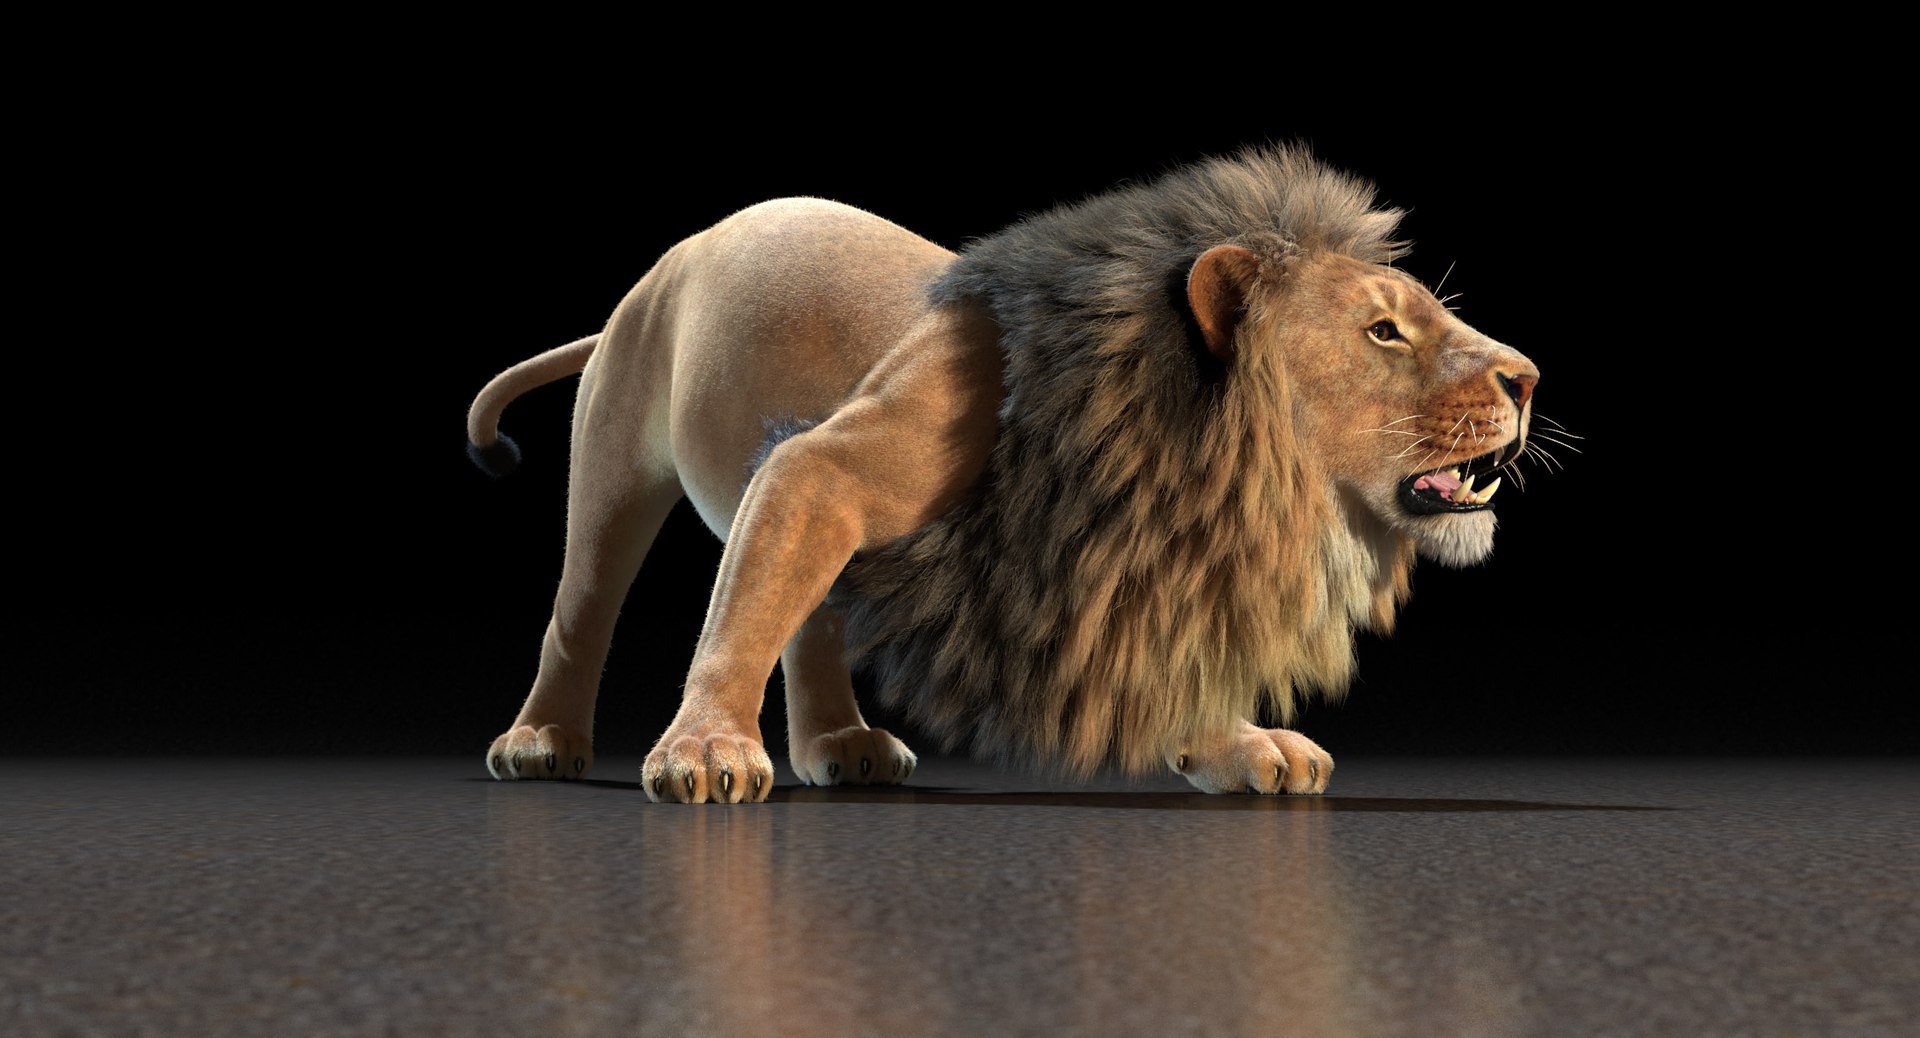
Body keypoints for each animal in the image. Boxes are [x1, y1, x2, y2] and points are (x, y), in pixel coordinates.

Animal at [467, 144, 1540, 803]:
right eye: (1384, 331)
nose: (1529, 378)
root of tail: (663, 266)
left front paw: (1241, 746)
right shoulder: (827, 461)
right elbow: (735, 627)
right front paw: (705, 749)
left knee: (813, 619)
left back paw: (842, 747)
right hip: (620, 462)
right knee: (584, 608)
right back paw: (542, 742)